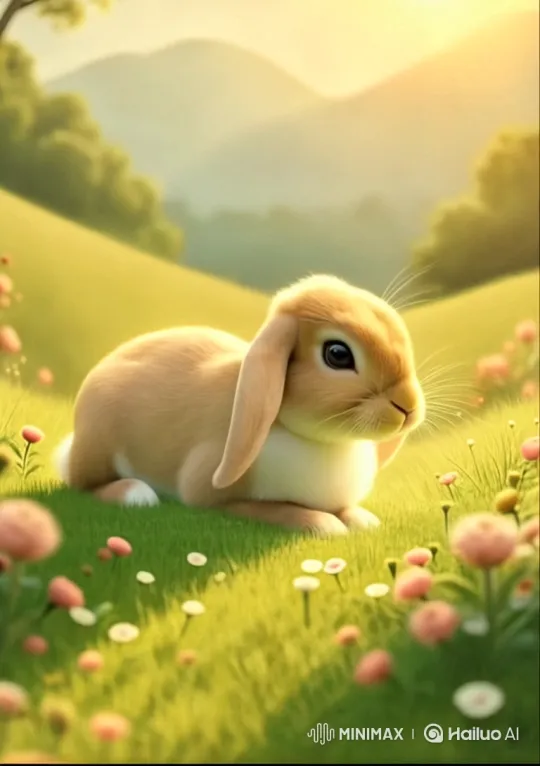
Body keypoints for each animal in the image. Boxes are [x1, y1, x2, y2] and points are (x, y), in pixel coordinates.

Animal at [54, 274, 426, 537]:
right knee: (82, 482)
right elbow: (277, 511)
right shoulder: (216, 495)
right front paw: (322, 523)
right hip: (99, 441)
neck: (323, 442)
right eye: (337, 354)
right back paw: (135, 492)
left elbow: (353, 514)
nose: (408, 406)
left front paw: (363, 519)